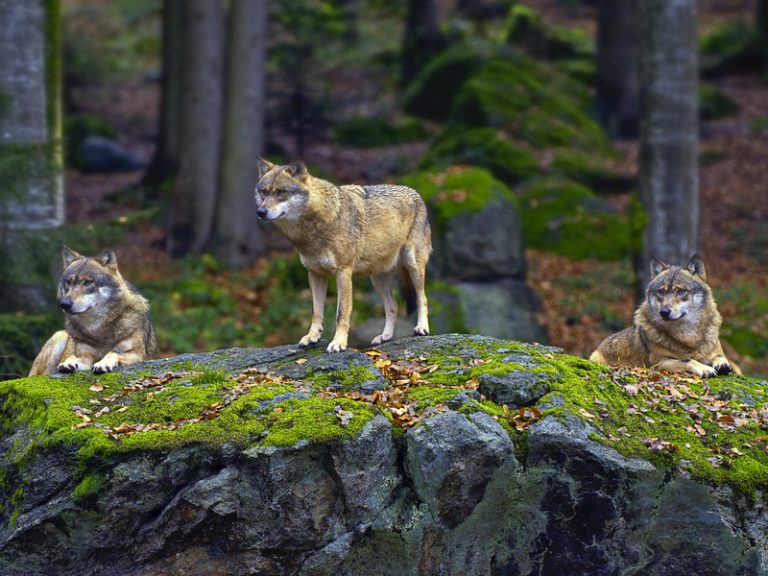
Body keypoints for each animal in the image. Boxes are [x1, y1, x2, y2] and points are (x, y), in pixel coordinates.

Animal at [29, 246, 158, 376]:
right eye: (69, 282)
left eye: (88, 282)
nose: (64, 304)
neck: (96, 328)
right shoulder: (85, 358)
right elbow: (73, 357)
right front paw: (68, 362)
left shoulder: (137, 355)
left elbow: (114, 352)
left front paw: (103, 363)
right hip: (59, 336)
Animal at [255, 158, 431, 353]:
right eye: (263, 192)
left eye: (281, 192)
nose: (261, 212)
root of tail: (416, 193)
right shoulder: (315, 274)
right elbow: (316, 311)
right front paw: (312, 337)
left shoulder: (343, 273)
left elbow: (341, 313)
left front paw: (338, 343)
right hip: (377, 280)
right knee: (393, 306)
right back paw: (385, 336)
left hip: (413, 265)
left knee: (422, 298)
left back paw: (422, 328)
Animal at [589, 254, 739, 378]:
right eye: (661, 292)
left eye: (680, 291)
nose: (664, 312)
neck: (688, 337)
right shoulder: (660, 363)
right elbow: (687, 360)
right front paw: (705, 369)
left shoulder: (715, 351)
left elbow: (720, 357)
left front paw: (722, 364)